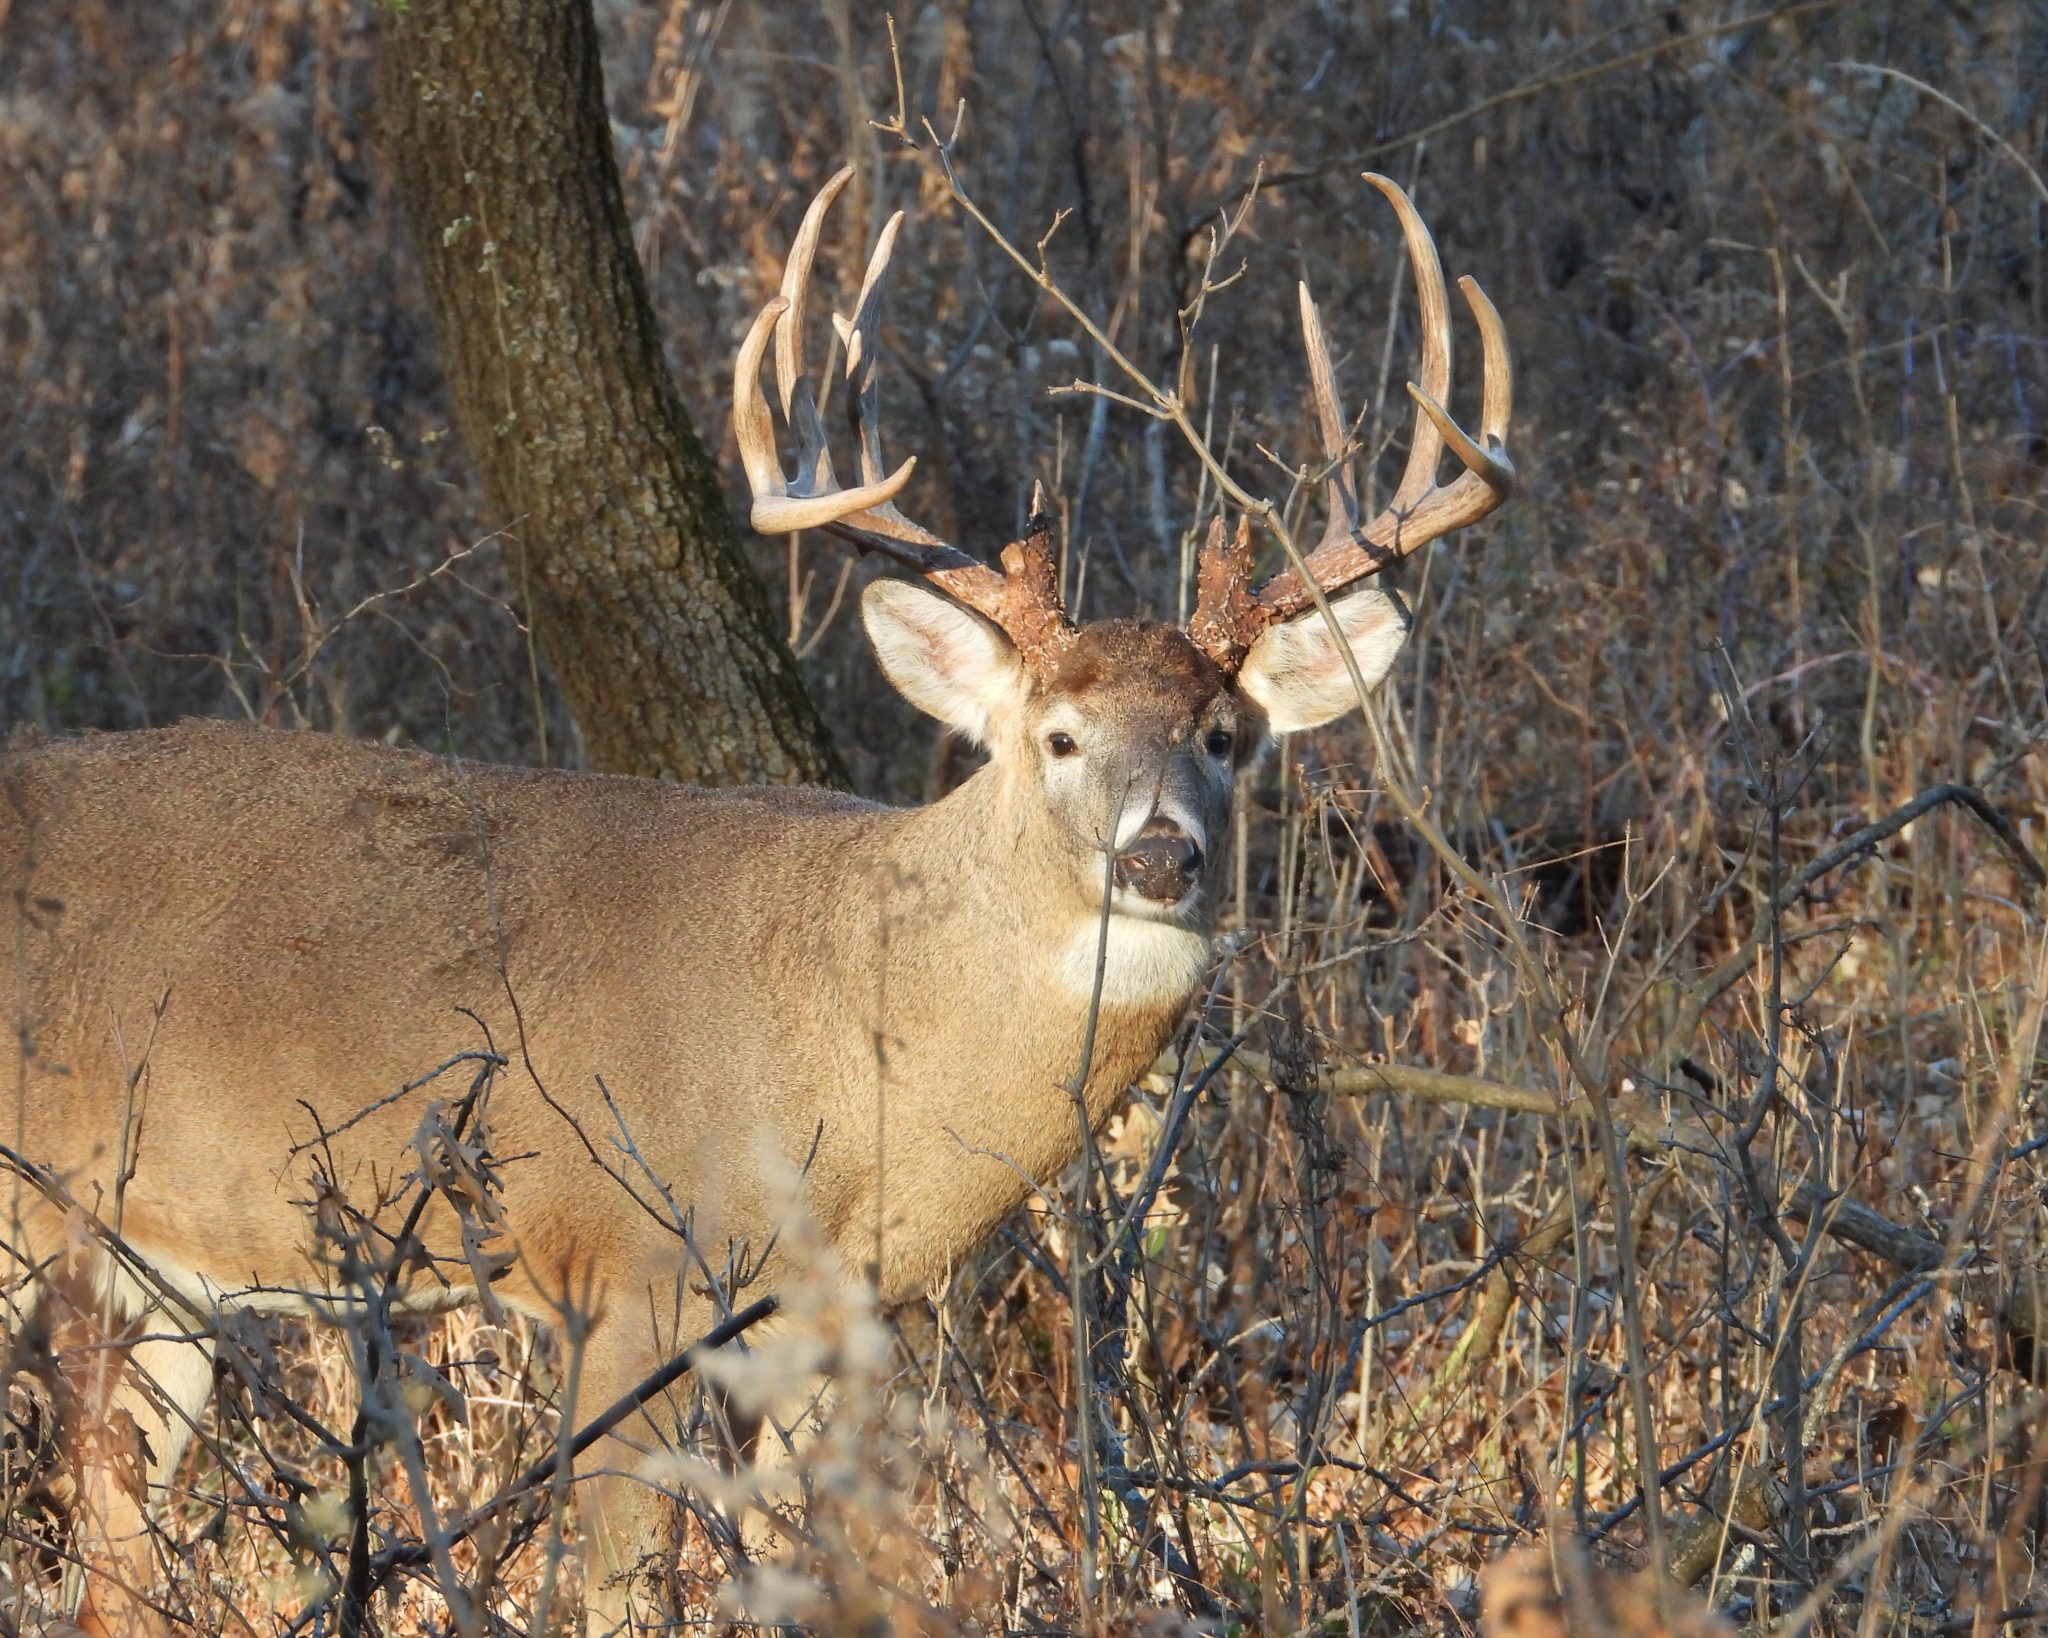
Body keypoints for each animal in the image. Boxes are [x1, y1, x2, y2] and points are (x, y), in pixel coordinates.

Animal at [1, 166, 1511, 1637]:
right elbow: (609, 1588)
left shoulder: (827, 1328)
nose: (1158, 858)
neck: (854, 1052)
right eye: (1058, 736)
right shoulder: (626, 1269)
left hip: (156, 1278)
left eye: (1225, 737)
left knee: (114, 1570)